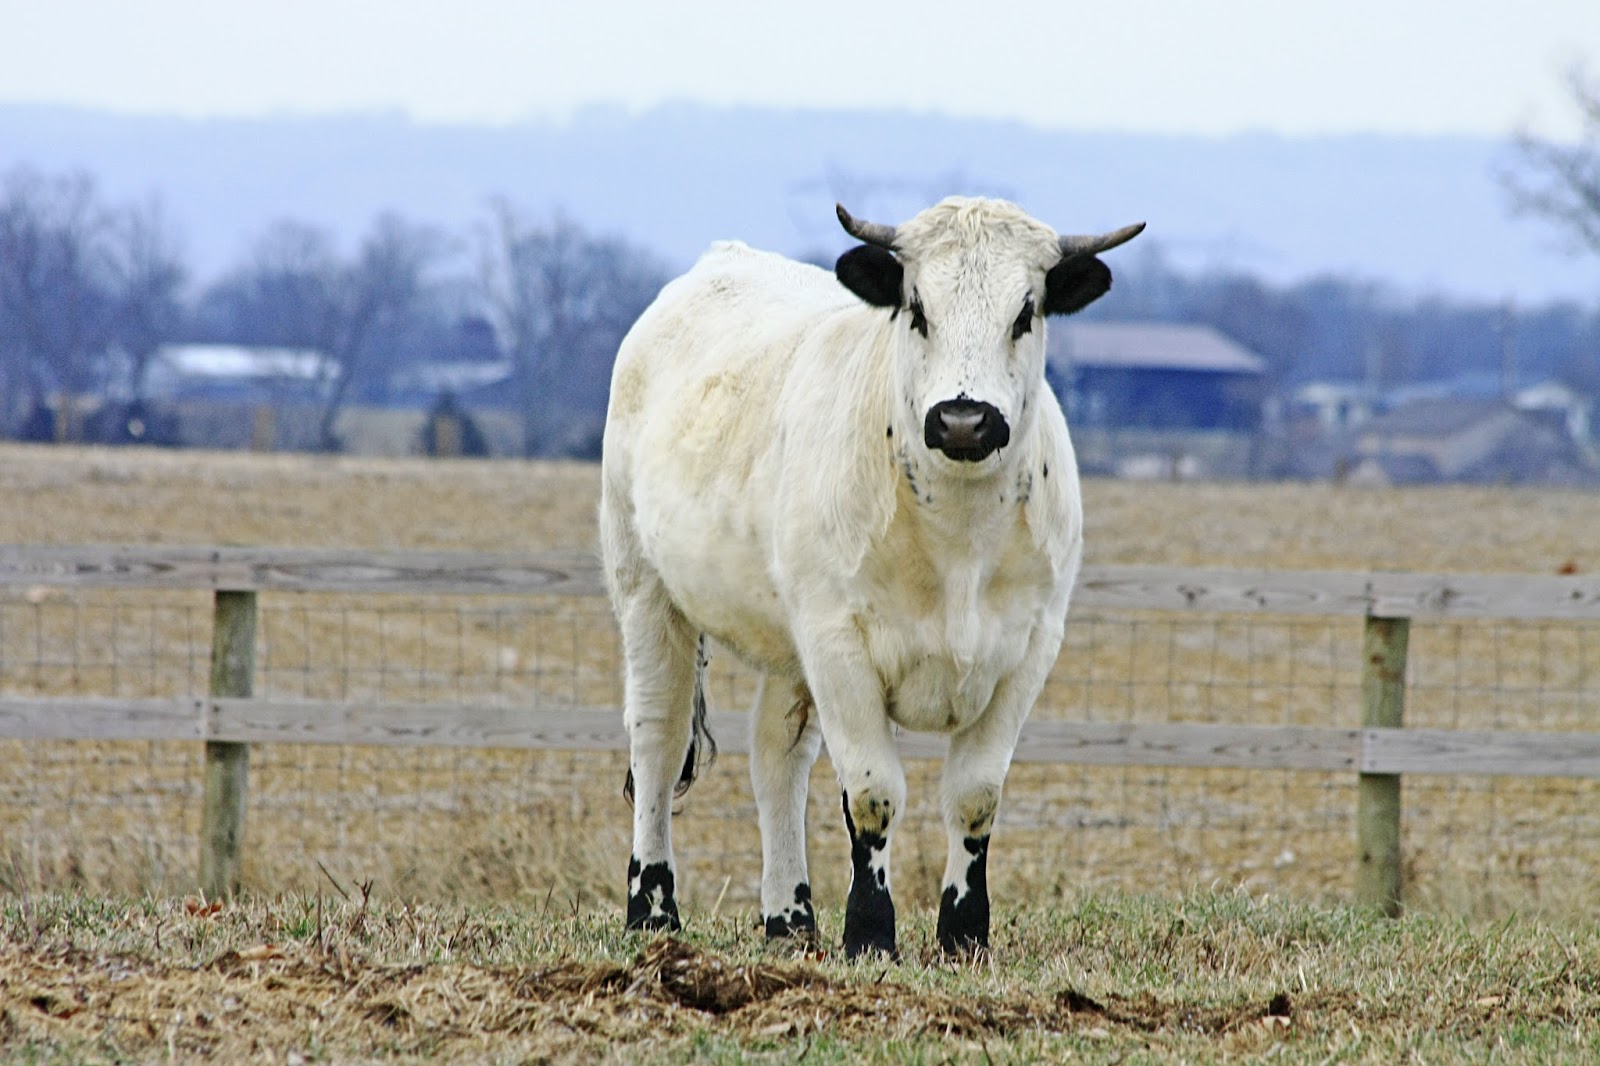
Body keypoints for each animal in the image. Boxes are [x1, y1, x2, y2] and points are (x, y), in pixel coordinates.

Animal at [600, 197, 1142, 958]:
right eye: (917, 308)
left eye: (1025, 312)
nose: (964, 420)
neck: (957, 538)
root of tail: (721, 260)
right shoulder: (839, 645)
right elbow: (872, 793)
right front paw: (870, 933)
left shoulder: (1029, 651)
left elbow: (975, 794)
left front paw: (963, 933)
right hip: (647, 590)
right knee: (658, 735)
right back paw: (652, 910)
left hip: (788, 640)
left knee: (777, 755)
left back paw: (790, 919)